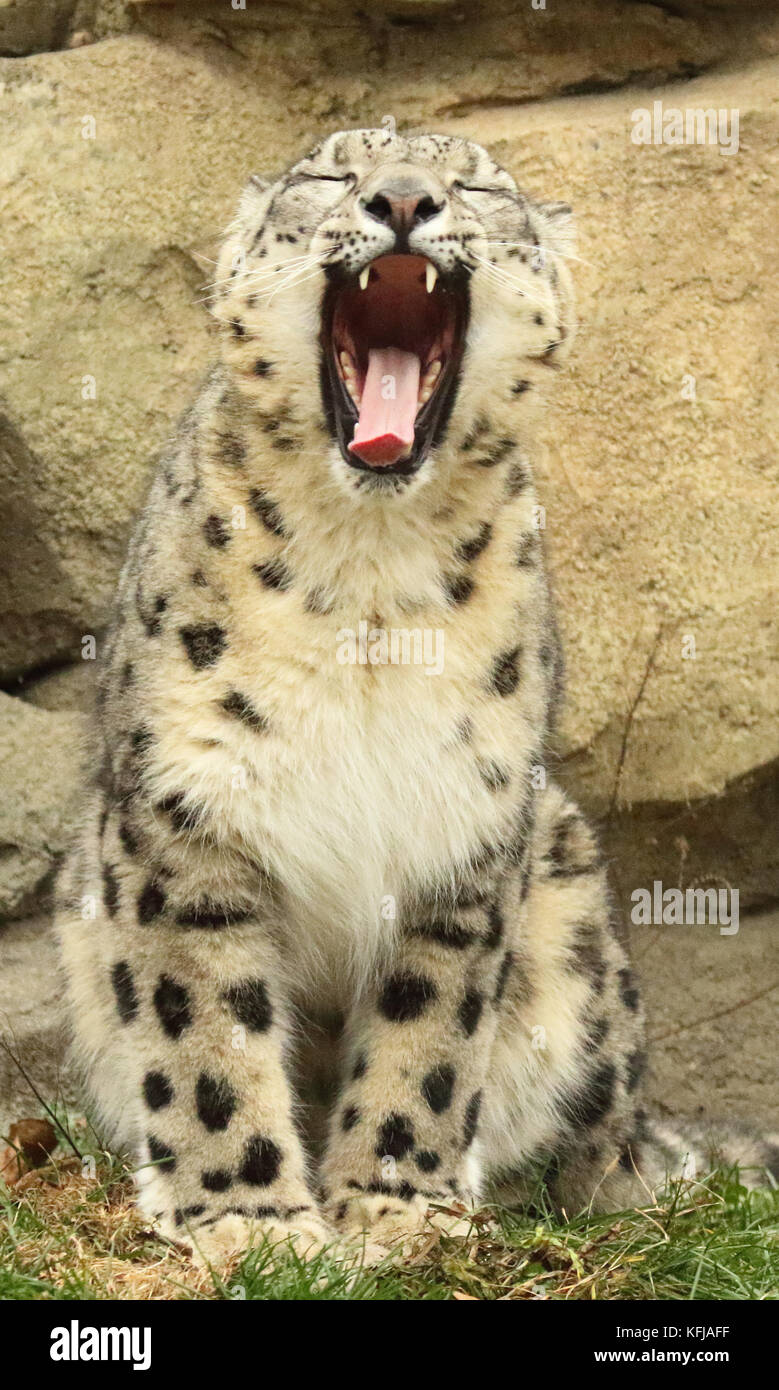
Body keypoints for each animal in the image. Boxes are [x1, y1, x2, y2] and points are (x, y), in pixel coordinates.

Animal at [55, 127, 776, 1269]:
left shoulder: (463, 818)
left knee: (598, 1150)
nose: (402, 201)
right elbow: (204, 1028)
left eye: (473, 183)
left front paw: (392, 1206)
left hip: (569, 907)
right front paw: (248, 1219)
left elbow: (426, 1034)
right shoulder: (187, 813)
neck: (368, 561)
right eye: (330, 174)